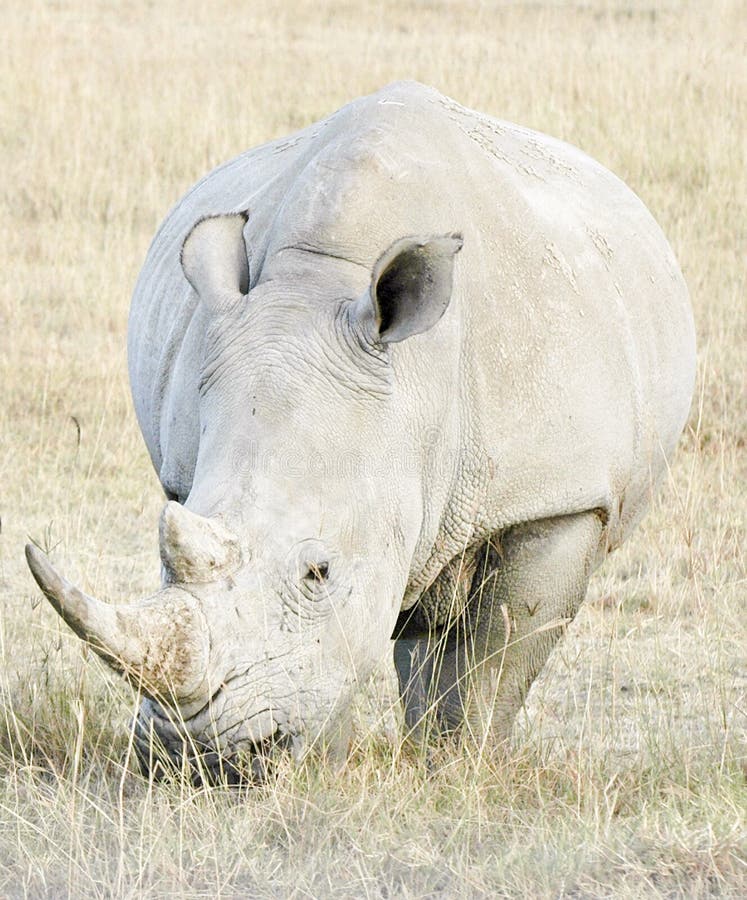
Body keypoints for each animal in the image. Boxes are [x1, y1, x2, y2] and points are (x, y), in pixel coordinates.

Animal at [26, 82, 695, 780]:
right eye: (163, 557)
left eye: (319, 573)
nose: (195, 757)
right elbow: (342, 648)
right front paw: (331, 764)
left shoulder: (557, 499)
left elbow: (500, 655)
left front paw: (461, 769)